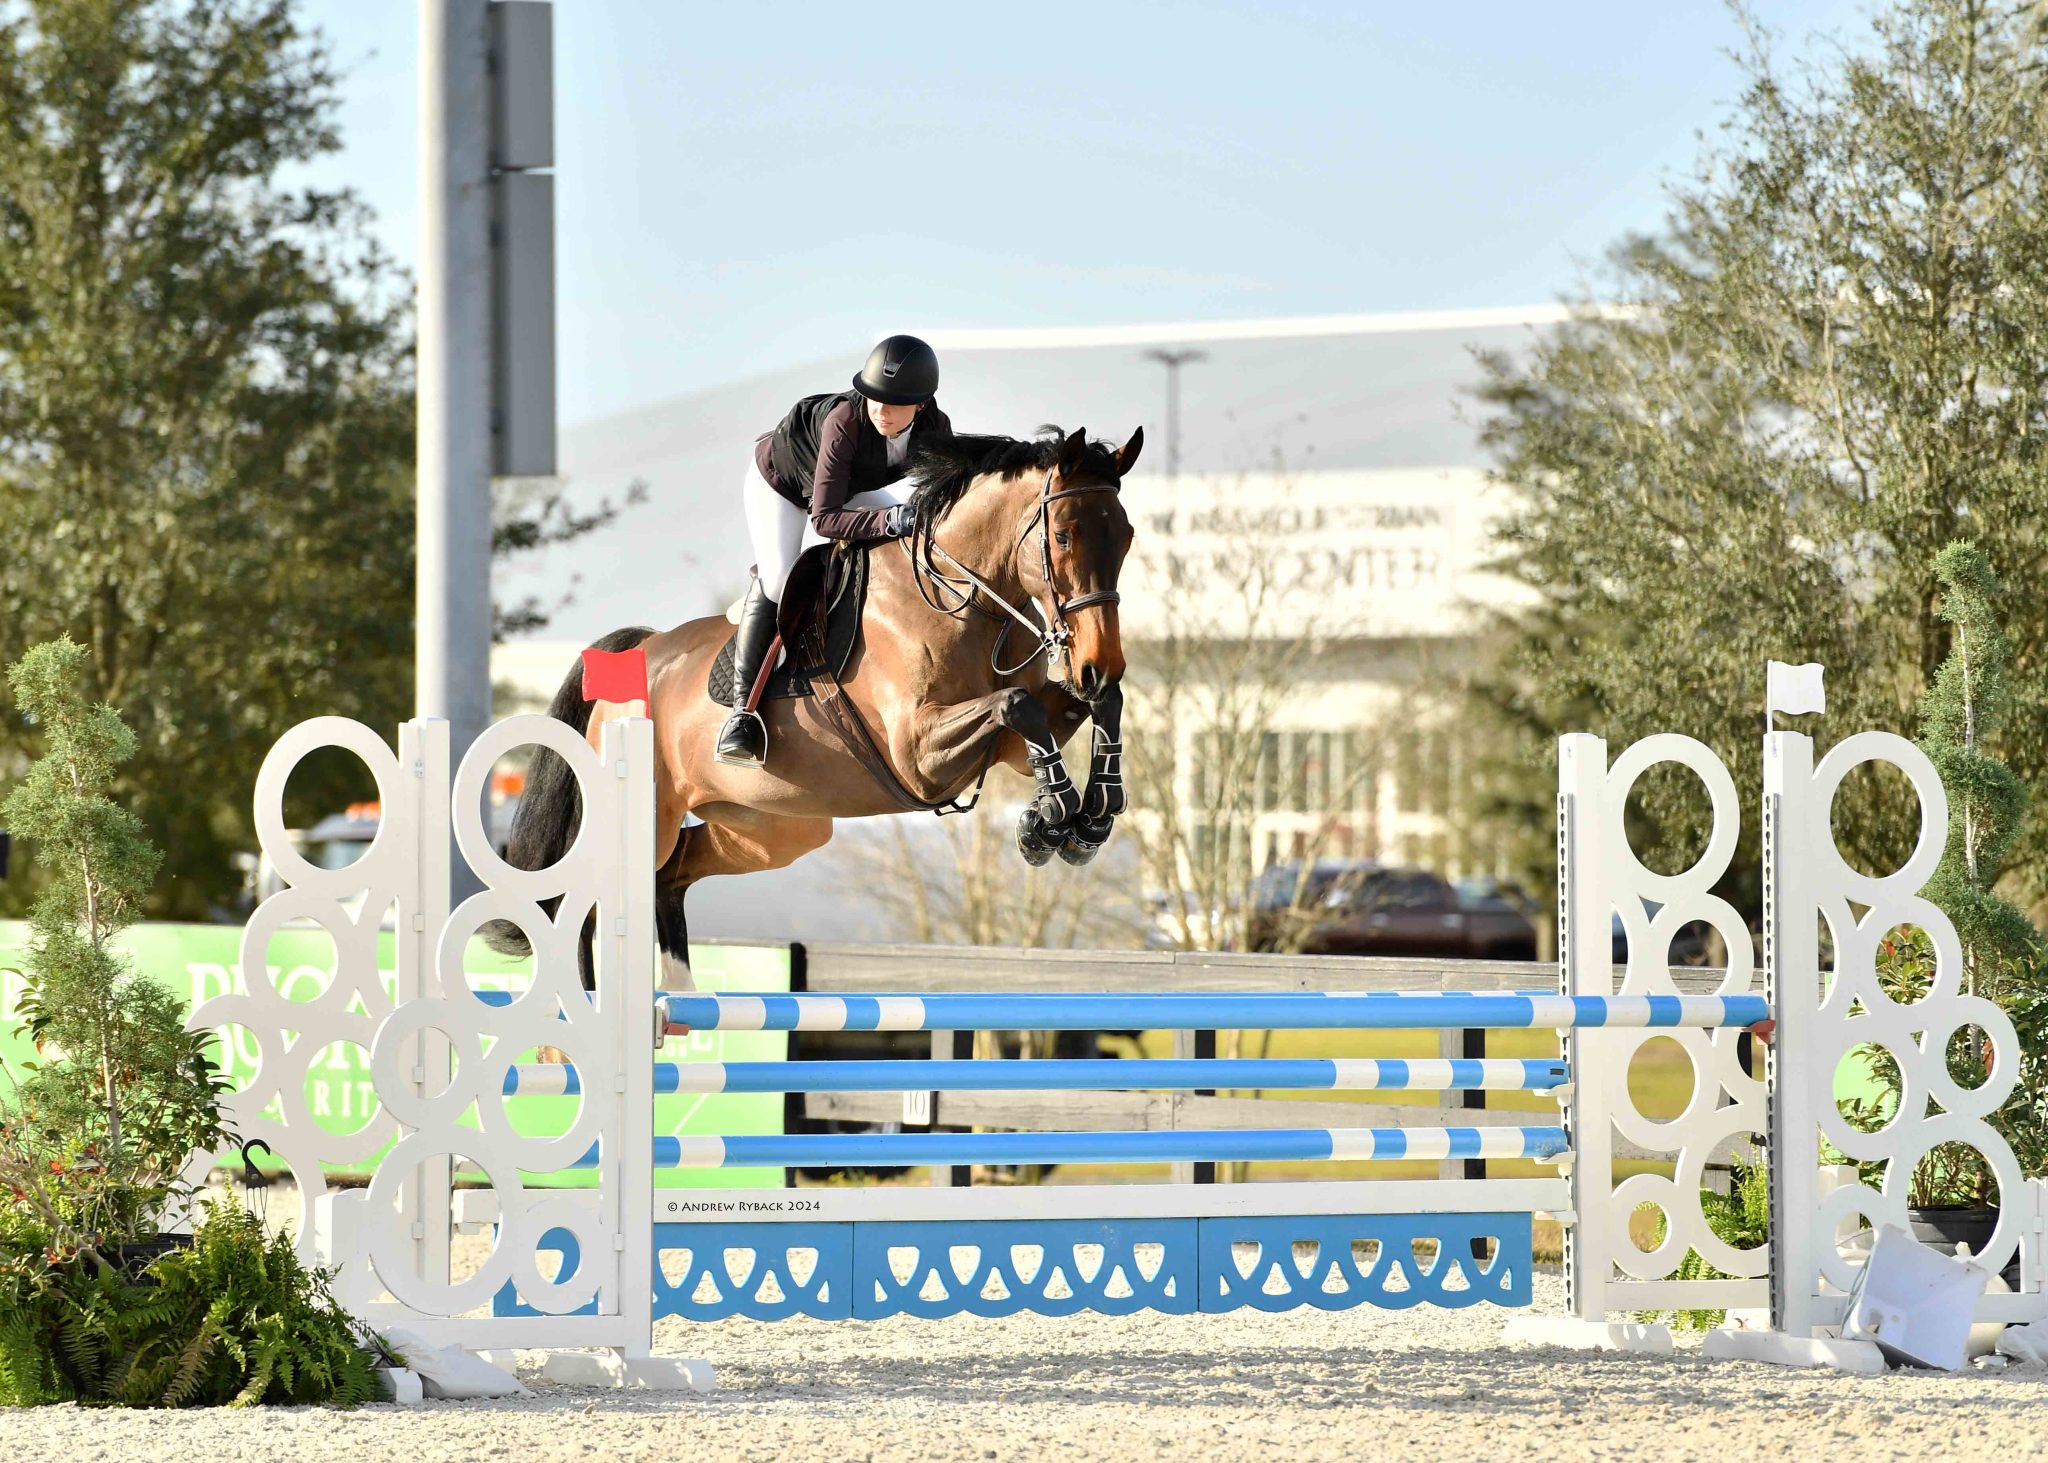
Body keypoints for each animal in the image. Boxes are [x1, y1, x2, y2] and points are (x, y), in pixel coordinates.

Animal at [490, 425, 1142, 984]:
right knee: (583, 907)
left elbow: (1086, 709)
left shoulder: (1002, 744)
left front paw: (1084, 818)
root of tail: (641, 651)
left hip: (773, 827)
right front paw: (1056, 815)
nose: (1098, 663)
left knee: (670, 876)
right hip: (644, 816)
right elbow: (1016, 705)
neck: (961, 599)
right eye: (1062, 536)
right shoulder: (918, 754)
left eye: (1127, 537)